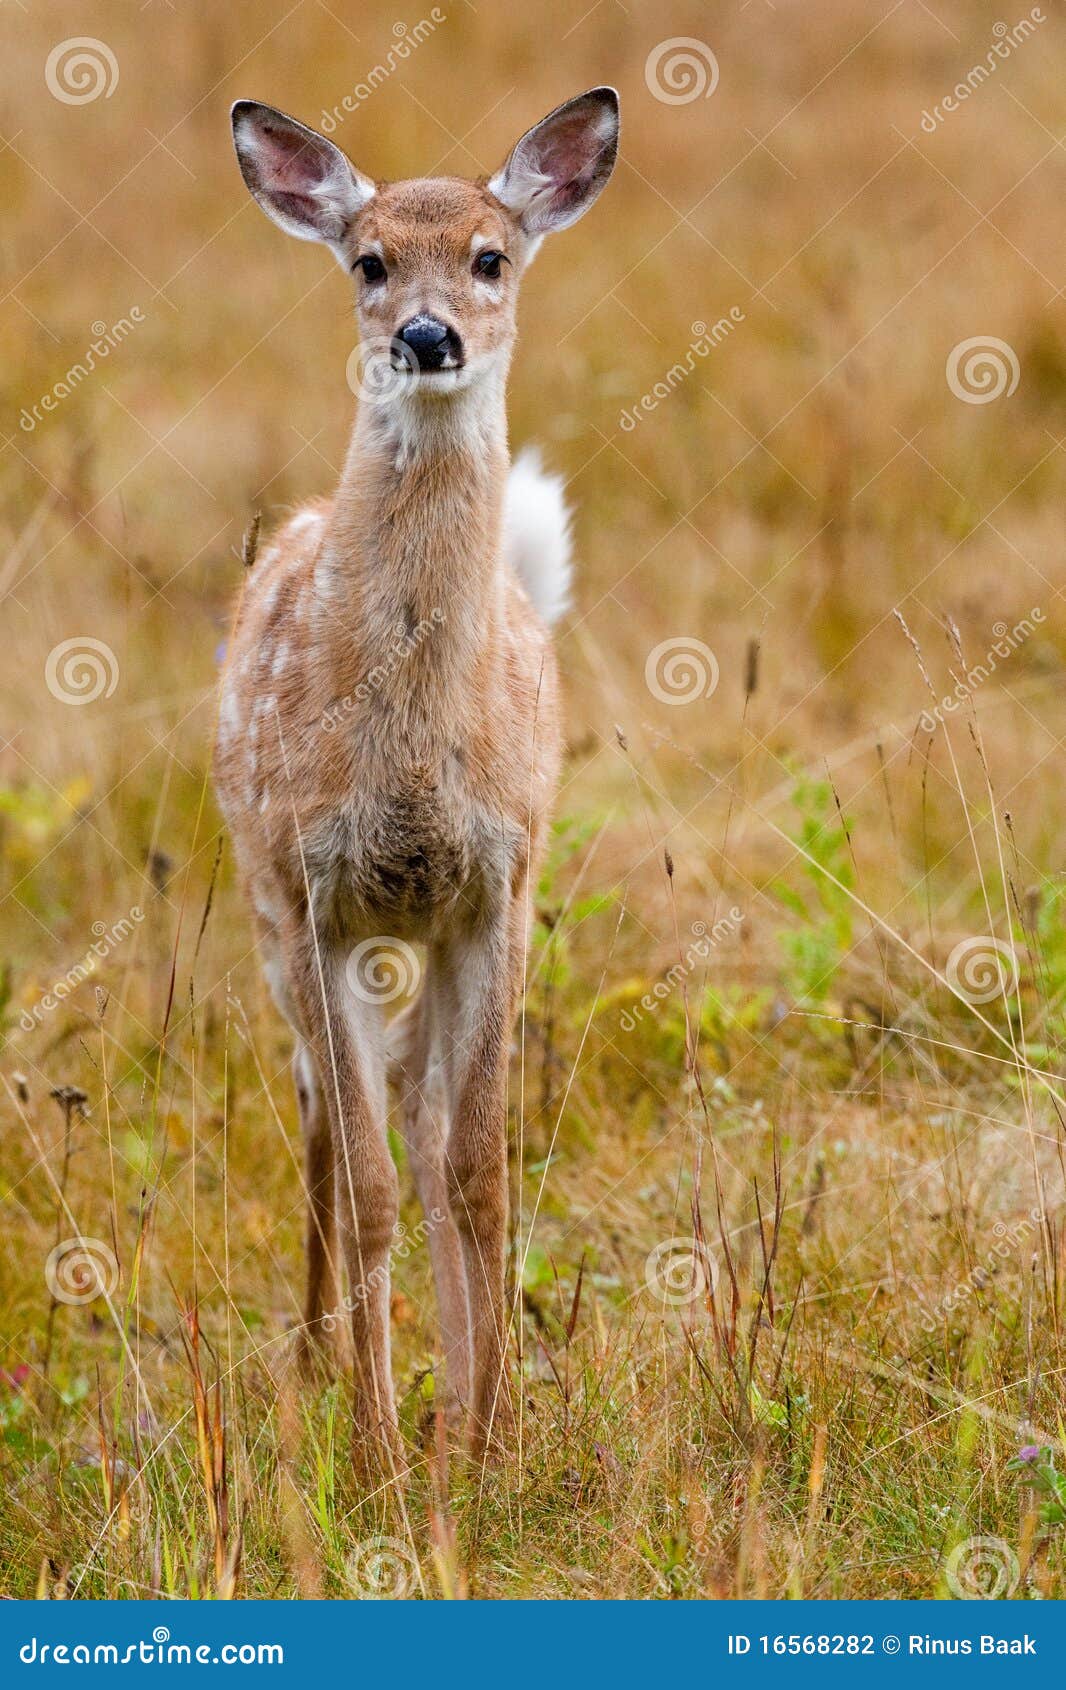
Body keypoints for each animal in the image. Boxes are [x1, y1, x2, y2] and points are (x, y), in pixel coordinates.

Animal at [214, 88, 619, 1466]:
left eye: (491, 258)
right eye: (369, 262)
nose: (427, 334)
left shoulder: (498, 885)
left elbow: (477, 1169)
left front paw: (492, 1440)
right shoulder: (319, 890)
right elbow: (376, 1180)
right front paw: (382, 1453)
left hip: (432, 933)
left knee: (424, 1116)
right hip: (270, 917)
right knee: (326, 1127)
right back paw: (315, 1363)